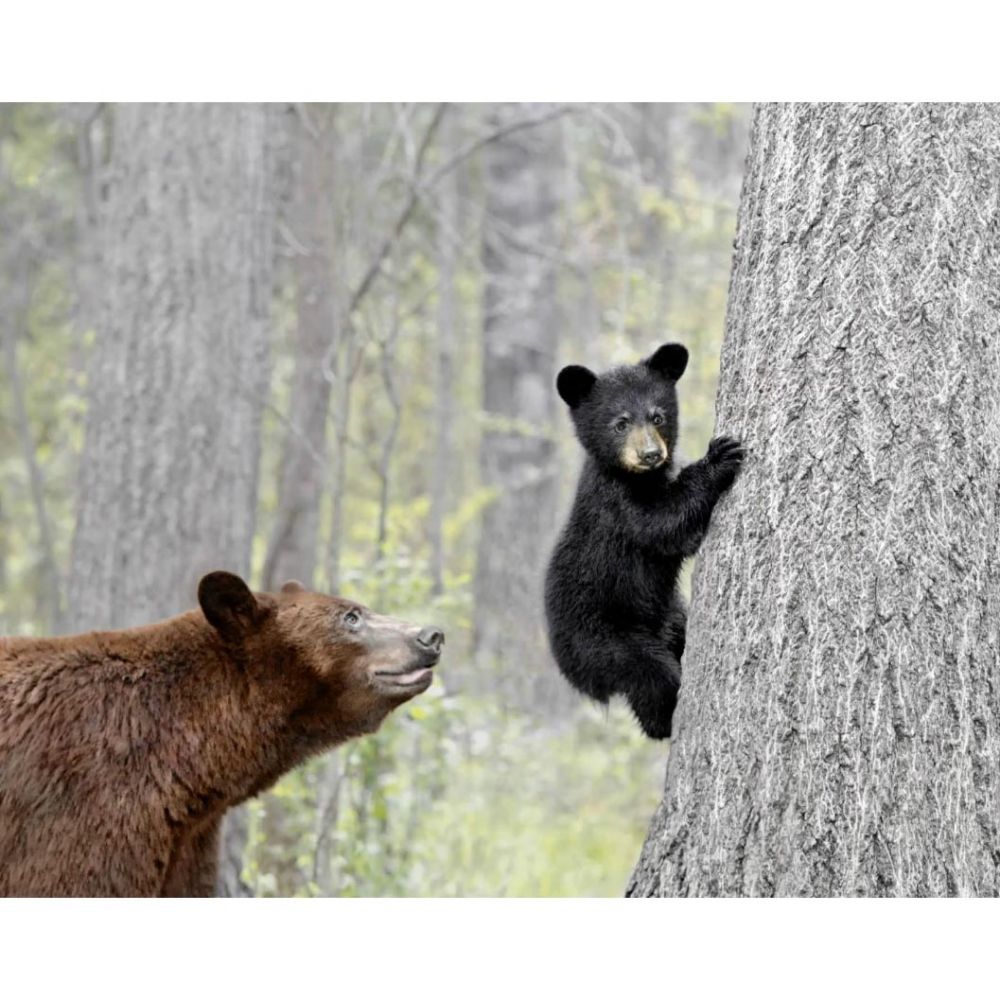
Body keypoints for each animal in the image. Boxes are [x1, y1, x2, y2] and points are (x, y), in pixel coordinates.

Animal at [544, 342, 744, 740]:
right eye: (620, 423)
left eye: (657, 417)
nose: (650, 454)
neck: (638, 477)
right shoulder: (617, 504)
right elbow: (662, 522)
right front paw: (719, 457)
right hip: (604, 640)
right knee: (651, 675)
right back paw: (665, 720)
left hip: (672, 614)